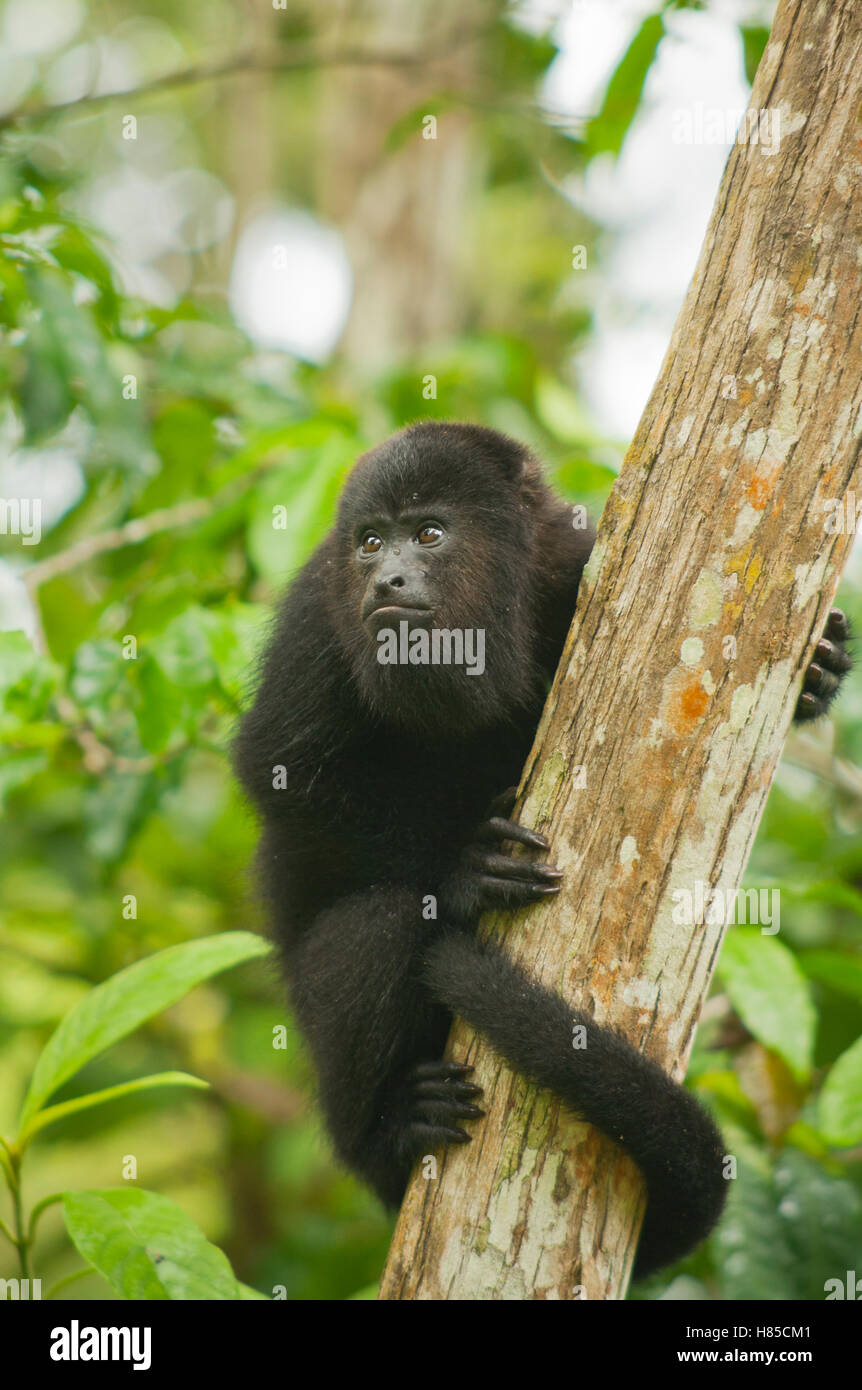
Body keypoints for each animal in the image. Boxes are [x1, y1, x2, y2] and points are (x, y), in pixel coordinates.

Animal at [234, 420, 852, 1279]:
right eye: (369, 542)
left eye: (430, 533)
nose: (388, 578)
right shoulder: (315, 620)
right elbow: (280, 771)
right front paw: (461, 870)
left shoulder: (575, 568)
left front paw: (821, 670)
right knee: (376, 927)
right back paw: (387, 1135)